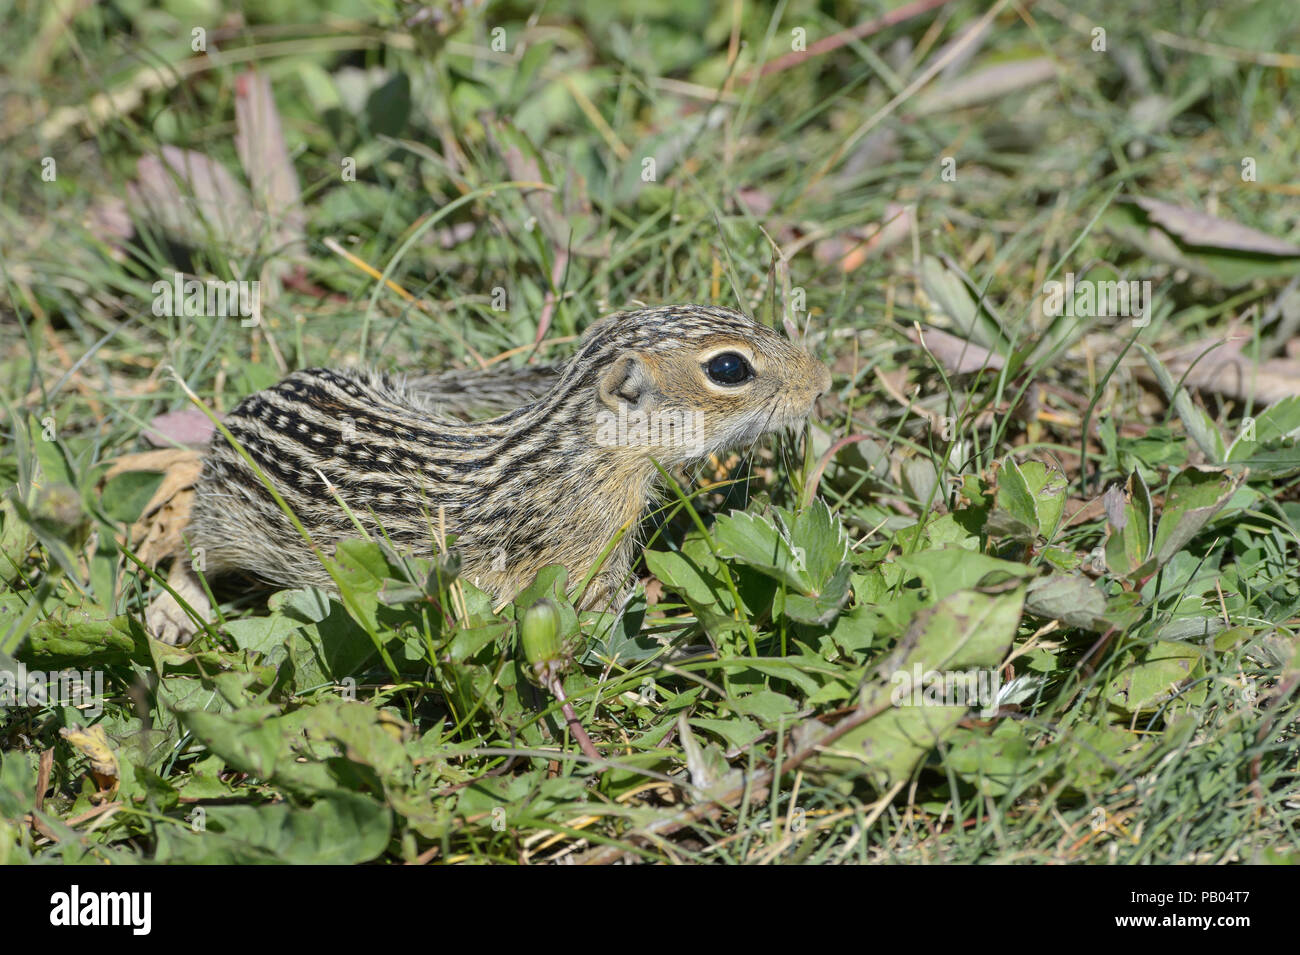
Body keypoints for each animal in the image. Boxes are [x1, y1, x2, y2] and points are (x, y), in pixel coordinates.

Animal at [145, 304, 832, 644]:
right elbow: (597, 617)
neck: (574, 454)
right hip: (226, 516)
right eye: (729, 369)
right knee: (191, 549)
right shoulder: (576, 566)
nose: (823, 381)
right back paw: (173, 614)